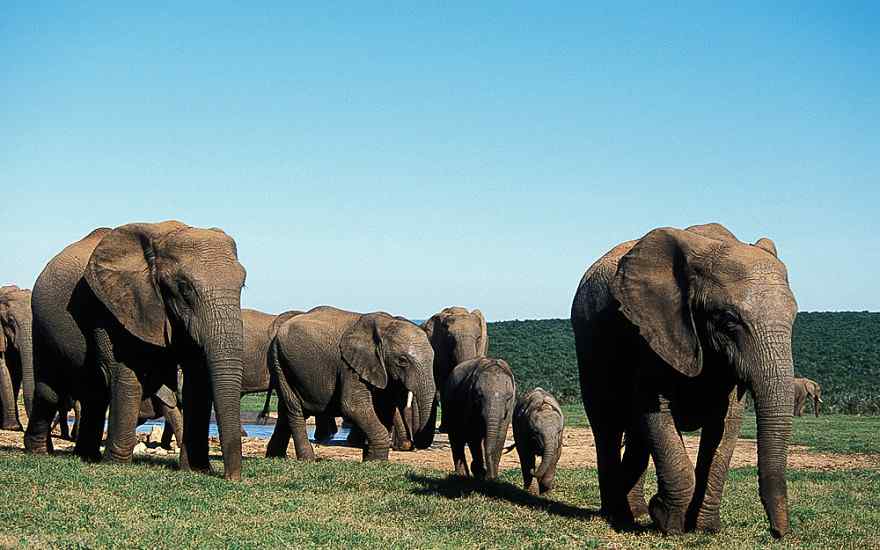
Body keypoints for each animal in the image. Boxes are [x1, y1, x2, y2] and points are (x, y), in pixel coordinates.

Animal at [24, 222, 247, 480]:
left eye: (242, 285)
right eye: (184, 287)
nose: (232, 478)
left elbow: (198, 380)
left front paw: (197, 470)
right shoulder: (112, 306)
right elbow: (127, 375)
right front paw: (117, 465)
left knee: (94, 392)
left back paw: (86, 456)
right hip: (41, 324)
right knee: (50, 390)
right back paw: (39, 452)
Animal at [265, 306, 435, 461]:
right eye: (402, 360)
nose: (413, 443)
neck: (386, 324)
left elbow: (384, 409)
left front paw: (371, 460)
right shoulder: (349, 367)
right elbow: (354, 407)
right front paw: (375, 462)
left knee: (284, 410)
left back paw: (275, 457)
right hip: (278, 361)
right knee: (295, 410)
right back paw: (307, 459)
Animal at [571, 223, 797, 538]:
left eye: (795, 317)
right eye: (729, 319)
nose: (779, 533)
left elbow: (727, 425)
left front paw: (705, 528)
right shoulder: (655, 331)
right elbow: (655, 410)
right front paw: (667, 521)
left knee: (637, 432)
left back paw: (636, 513)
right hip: (589, 344)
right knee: (607, 425)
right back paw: (617, 515)